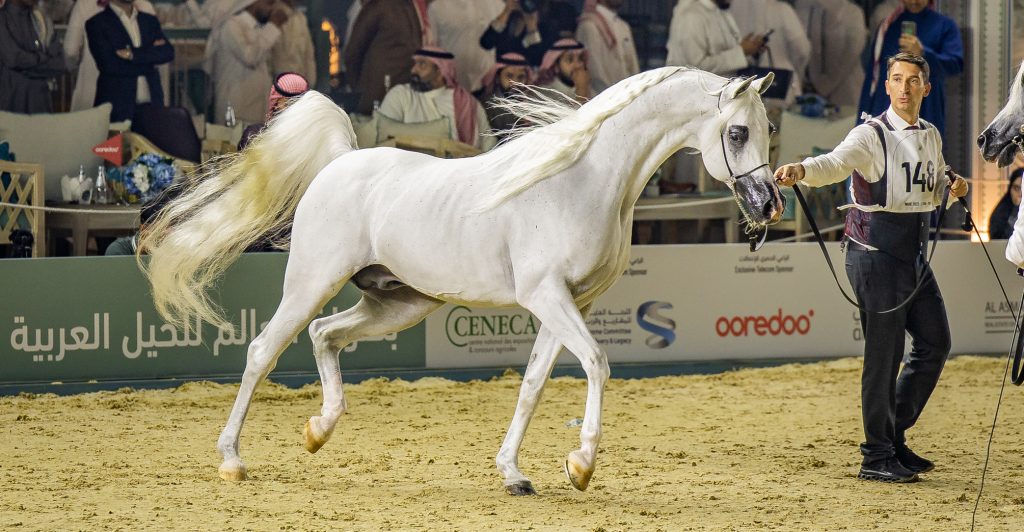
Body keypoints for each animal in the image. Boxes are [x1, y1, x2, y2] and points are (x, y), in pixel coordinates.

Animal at [140, 67, 784, 495]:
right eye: (736, 133)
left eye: (769, 128)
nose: (768, 204)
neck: (583, 179)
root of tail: (340, 161)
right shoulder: (546, 295)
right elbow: (598, 365)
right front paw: (581, 465)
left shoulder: (567, 304)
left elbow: (532, 384)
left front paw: (514, 474)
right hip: (310, 282)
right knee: (262, 351)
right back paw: (232, 460)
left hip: (397, 303)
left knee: (325, 335)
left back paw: (319, 431)